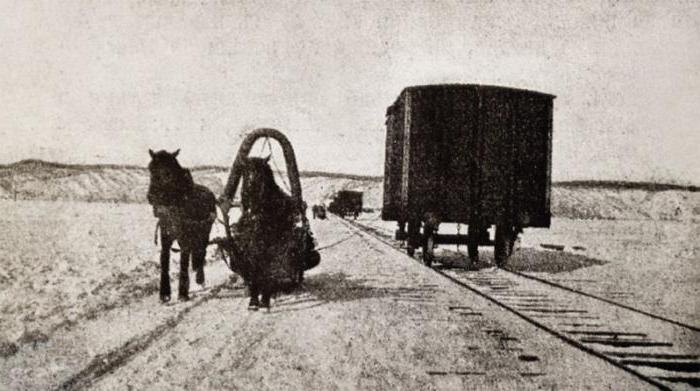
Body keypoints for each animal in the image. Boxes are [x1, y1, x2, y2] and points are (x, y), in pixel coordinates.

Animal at [146, 150, 215, 304]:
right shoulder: (165, 237)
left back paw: (200, 278)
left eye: (168, 172)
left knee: (201, 252)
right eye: (150, 169)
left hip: (204, 232)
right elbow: (164, 261)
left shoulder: (185, 238)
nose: (151, 197)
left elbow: (184, 261)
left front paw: (183, 293)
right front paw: (164, 294)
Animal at [238, 155, 298, 310]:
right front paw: (253, 300)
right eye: (245, 171)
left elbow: (267, 268)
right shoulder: (251, 246)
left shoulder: (270, 246)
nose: (251, 187)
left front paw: (265, 299)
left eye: (261, 173)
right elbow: (254, 267)